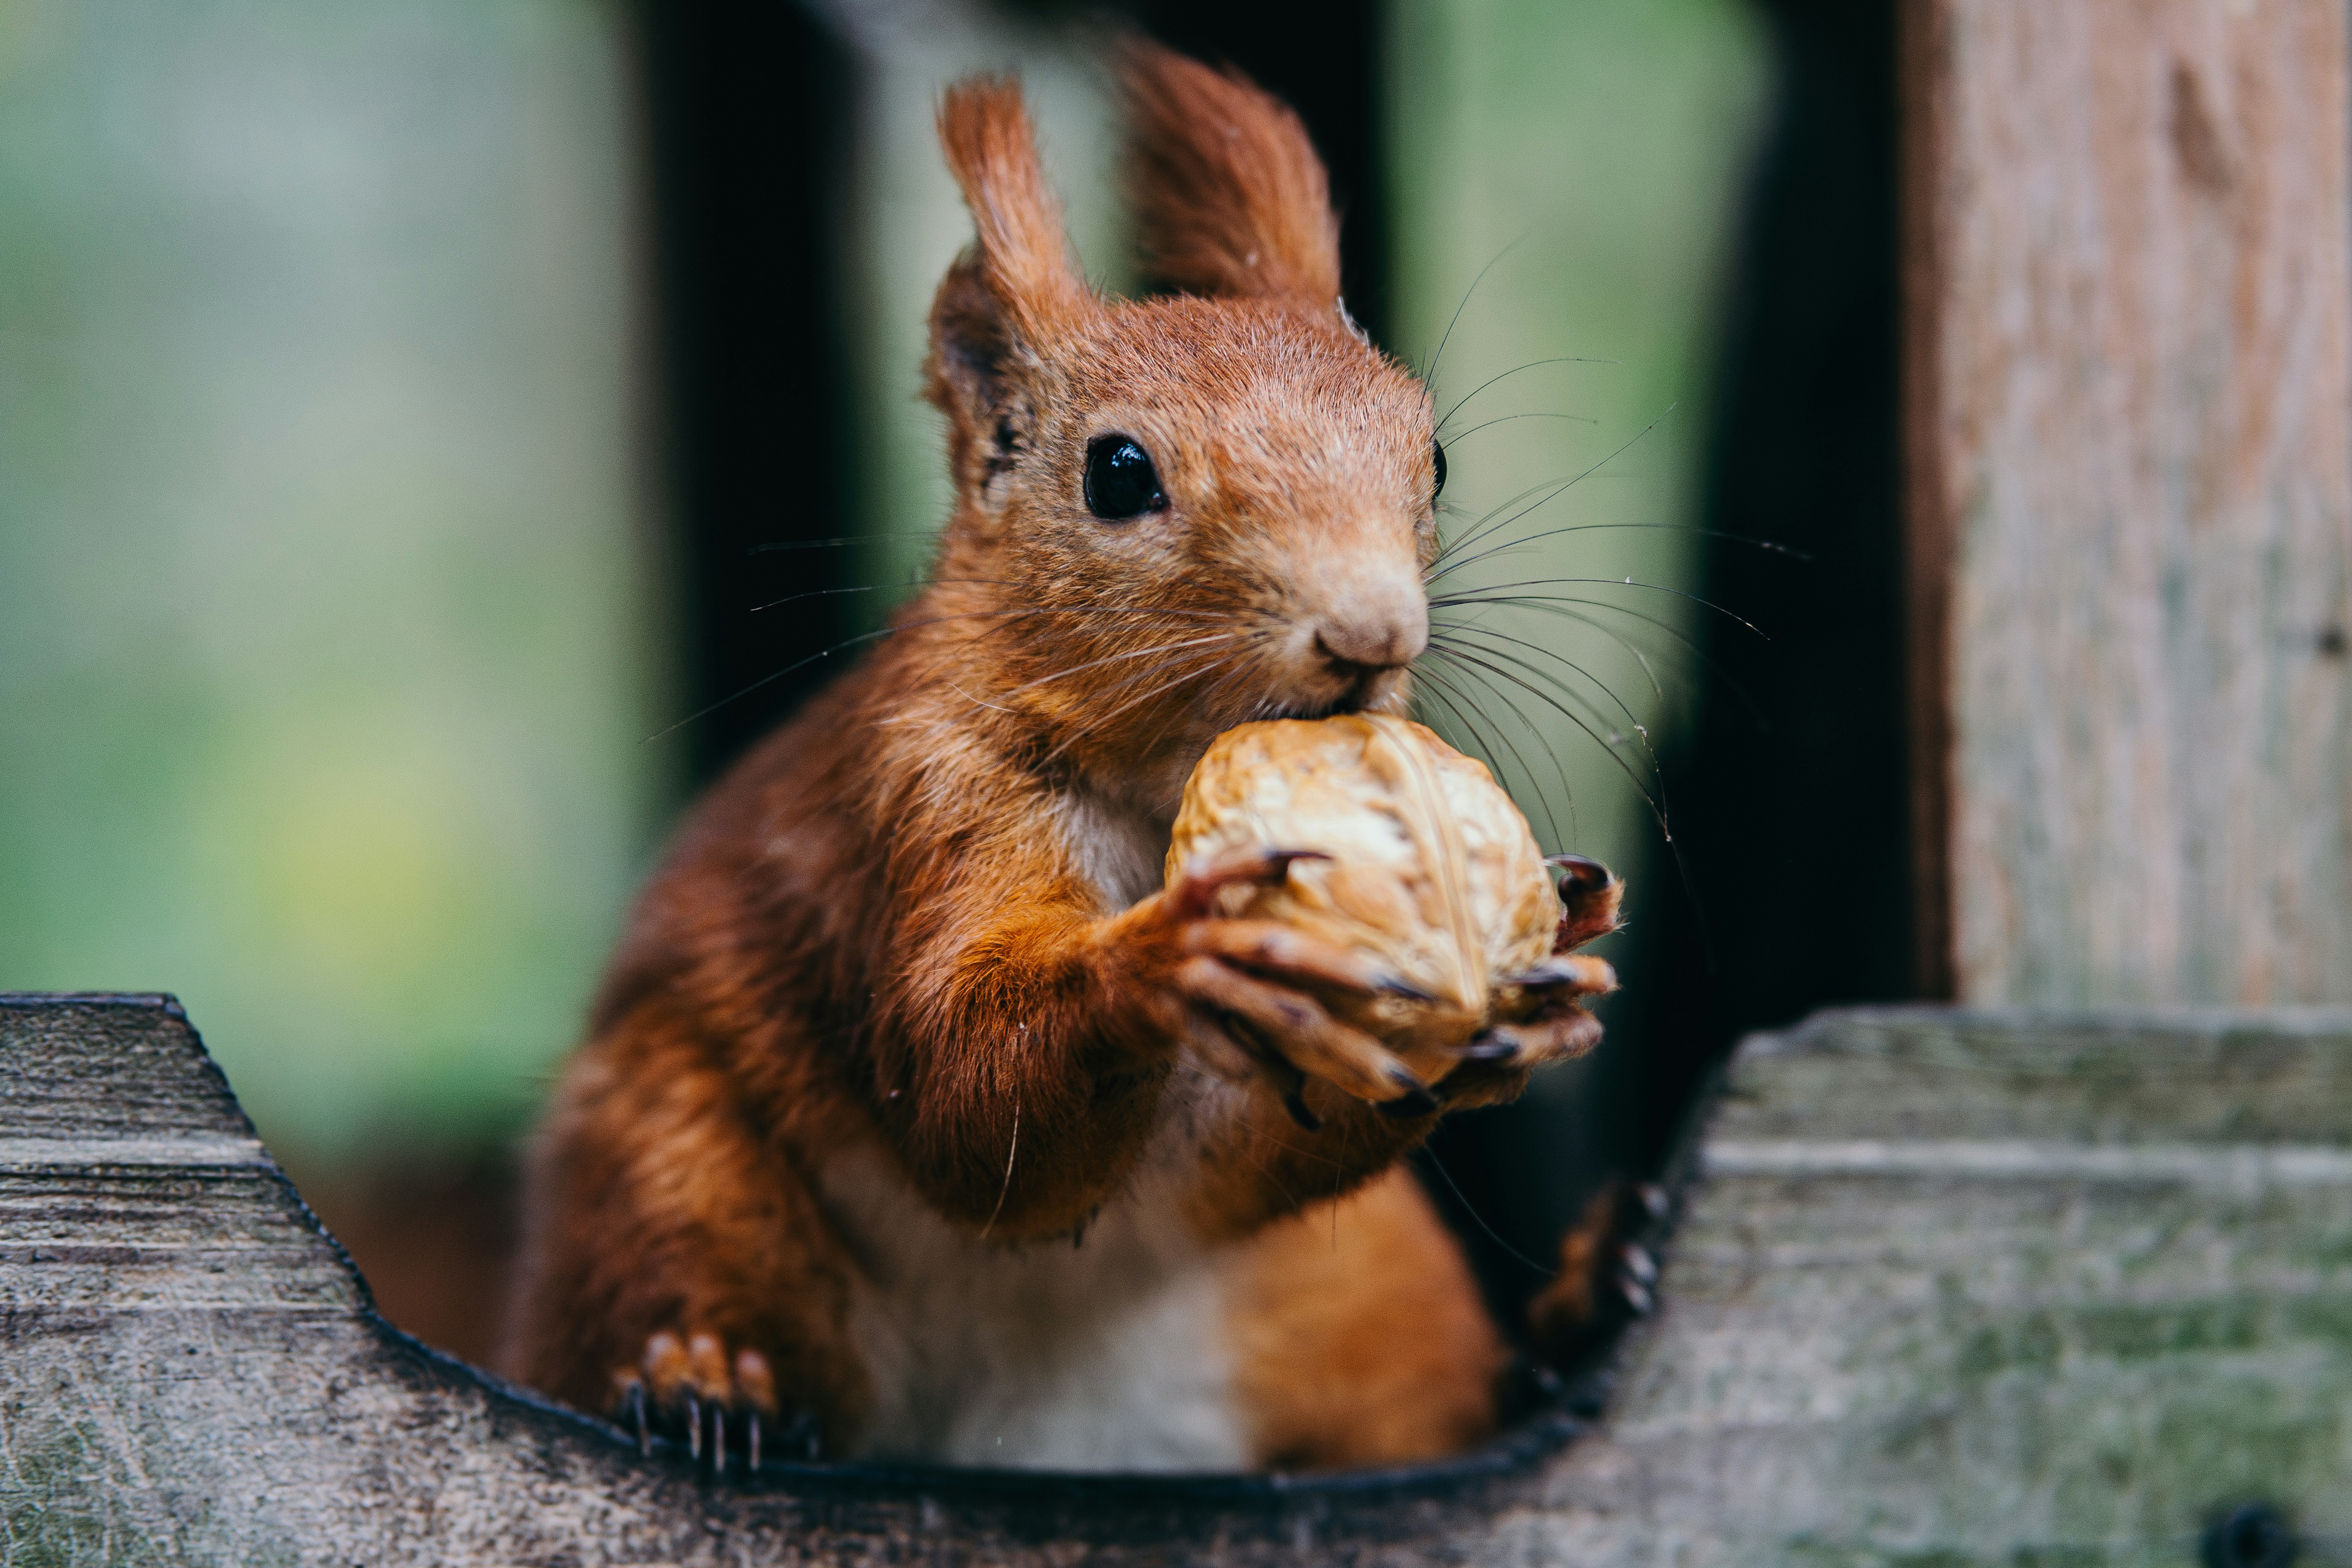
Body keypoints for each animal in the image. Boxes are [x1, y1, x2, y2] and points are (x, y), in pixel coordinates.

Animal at [499, 44, 1630, 1474]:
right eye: (1119, 474)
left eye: (1432, 455)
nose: (1373, 634)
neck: (1163, 792)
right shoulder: (921, 806)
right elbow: (967, 1098)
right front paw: (1168, 958)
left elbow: (1243, 1152)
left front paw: (1549, 965)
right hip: (664, 1148)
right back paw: (703, 1381)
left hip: (1355, 1295)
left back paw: (1585, 1313)